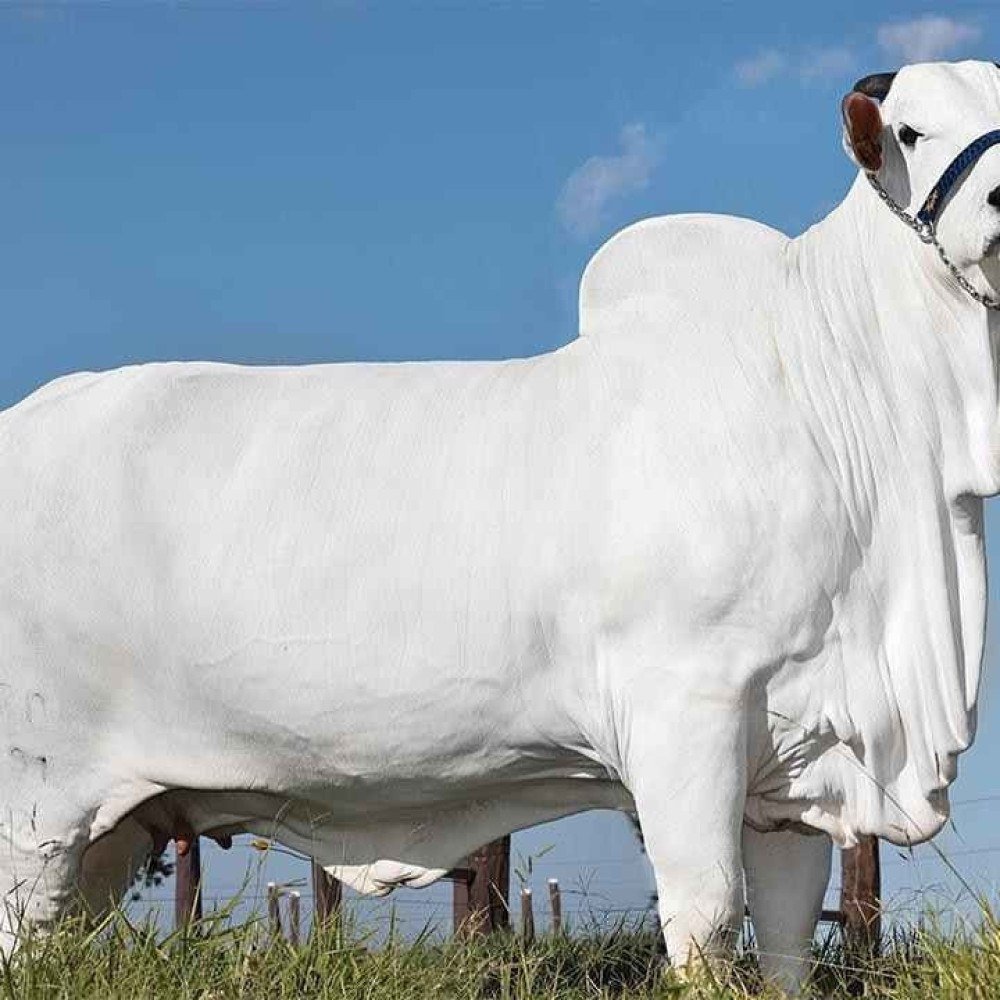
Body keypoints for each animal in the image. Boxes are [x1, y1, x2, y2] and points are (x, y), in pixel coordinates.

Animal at [1, 58, 999, 992]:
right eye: (911, 129)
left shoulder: (798, 762)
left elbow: (786, 936)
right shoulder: (687, 711)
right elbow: (710, 916)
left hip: (114, 827)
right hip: (33, 809)